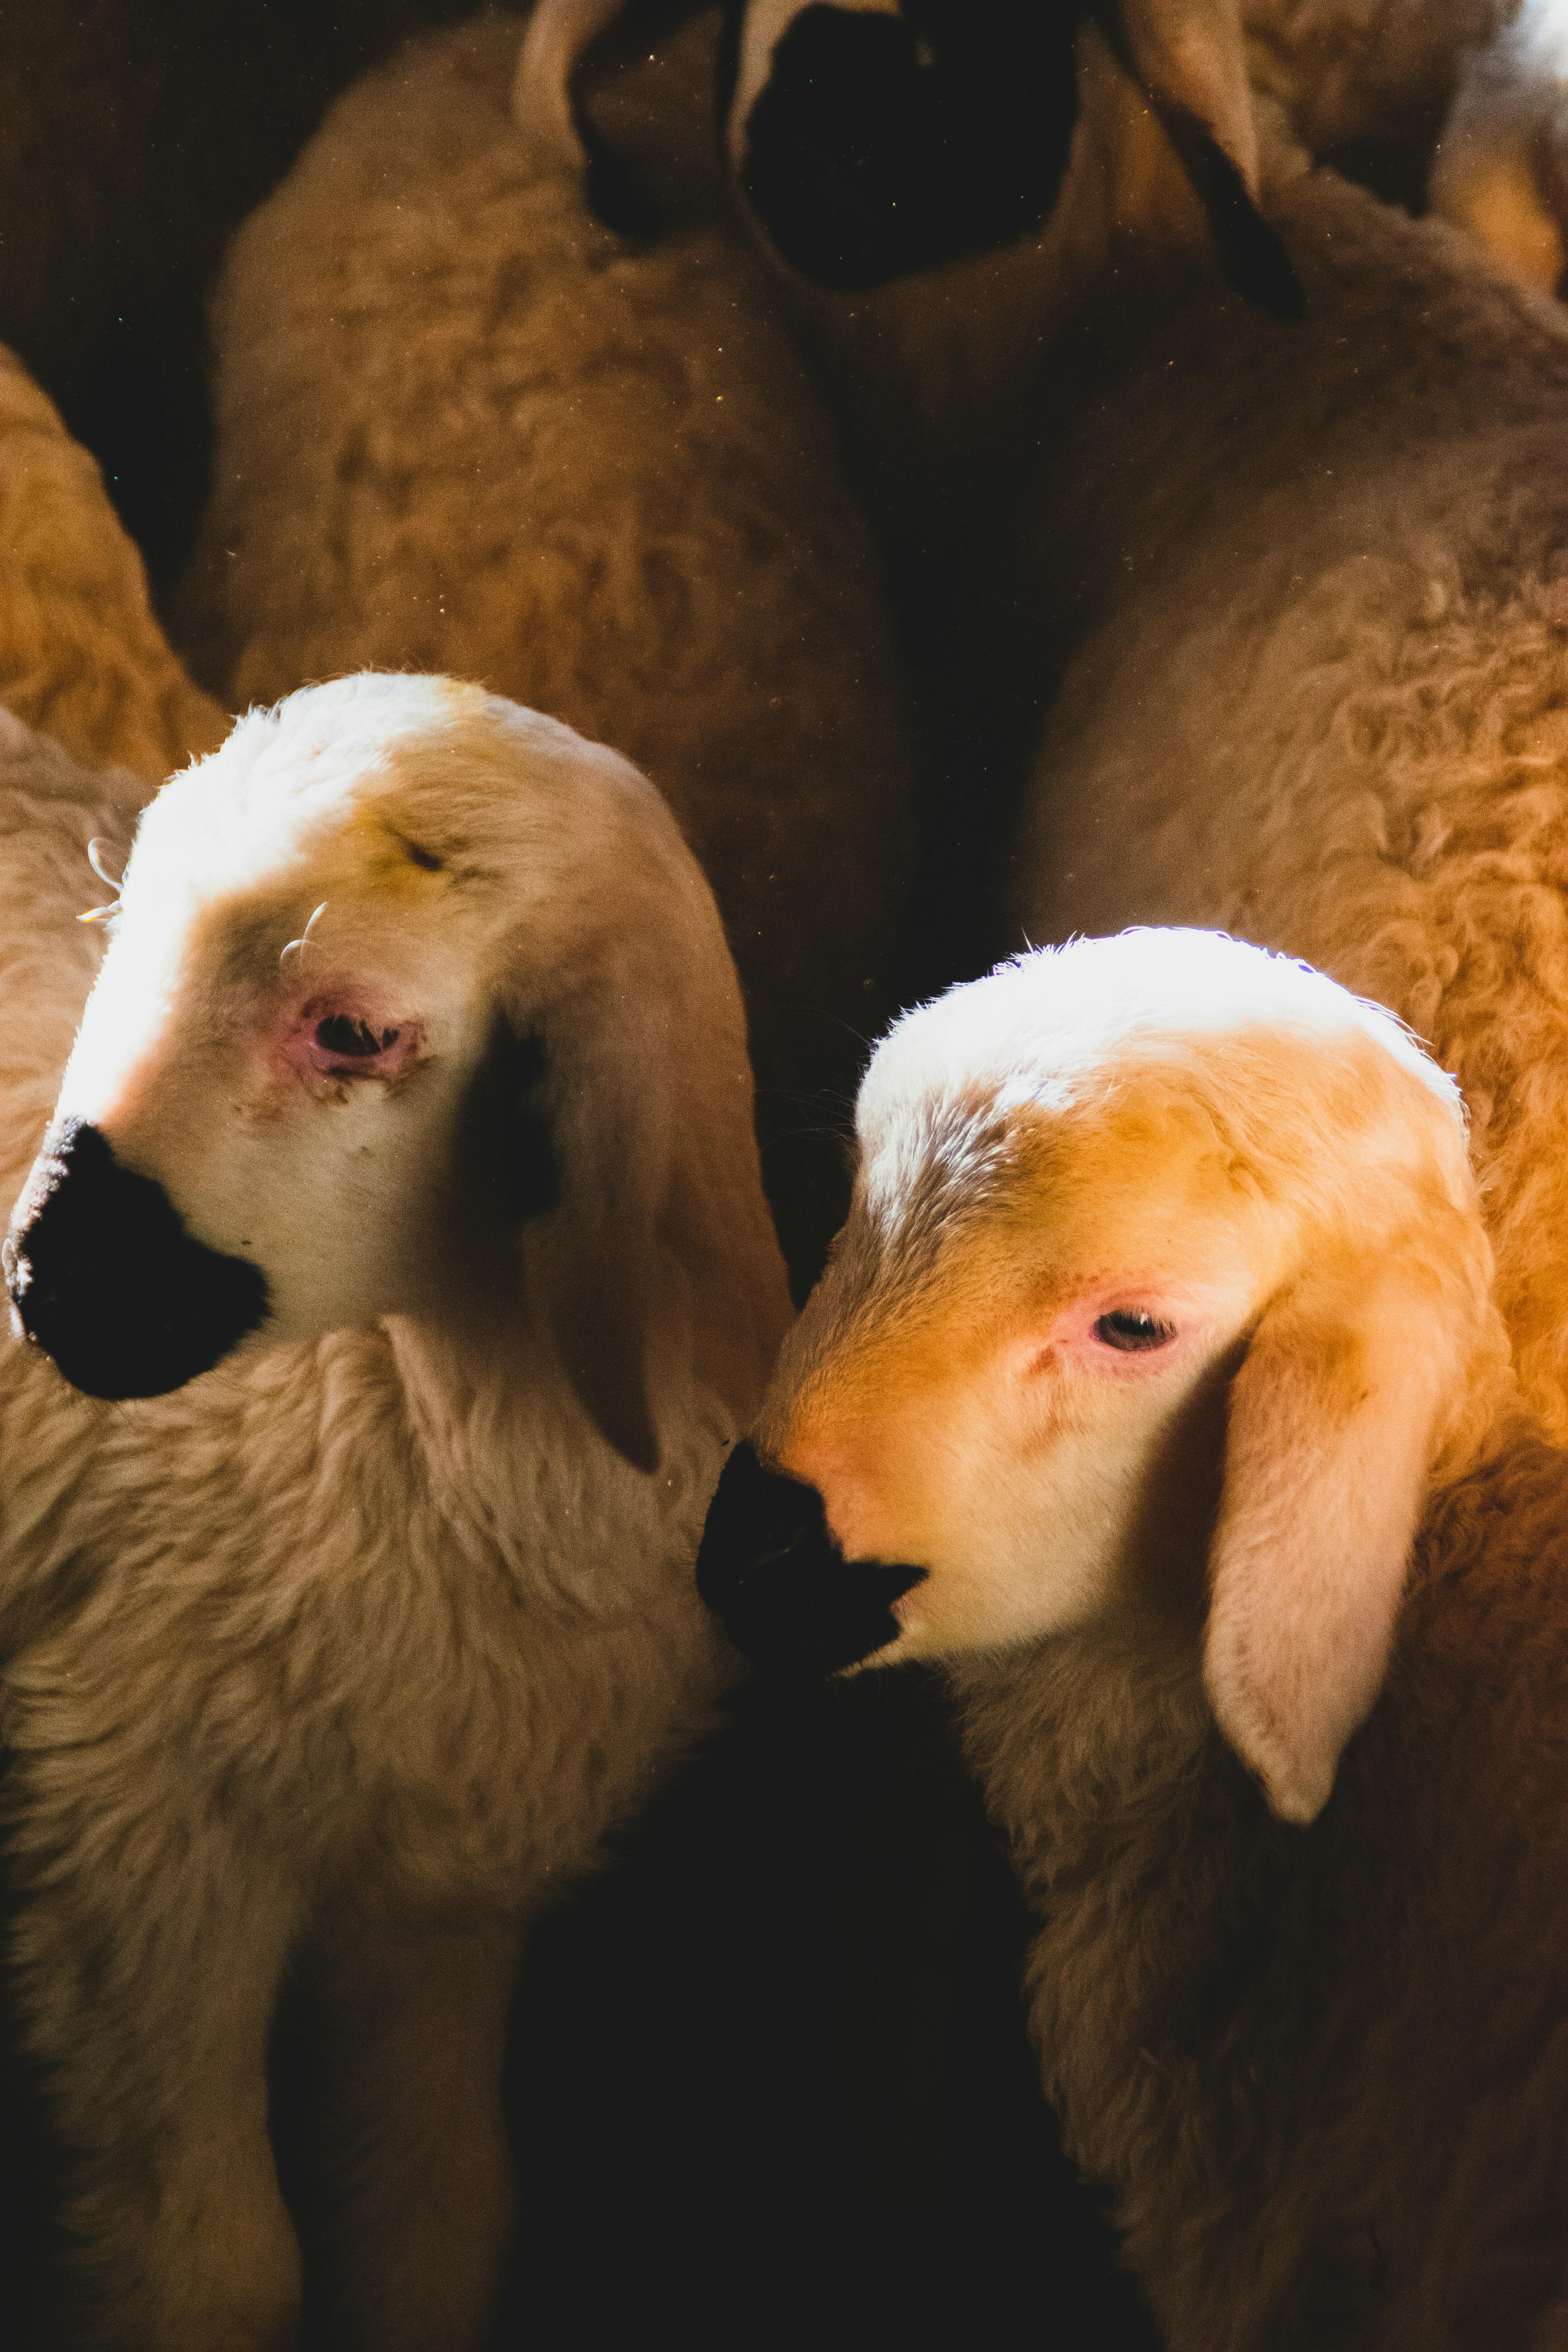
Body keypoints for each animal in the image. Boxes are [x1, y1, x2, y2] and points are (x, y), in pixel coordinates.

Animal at [0, 667, 792, 2349]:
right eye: (127, 934)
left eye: (353, 1030)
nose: (42, 1290)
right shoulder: (134, 1842)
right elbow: (219, 2267)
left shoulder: (444, 1893)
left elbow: (432, 2226)